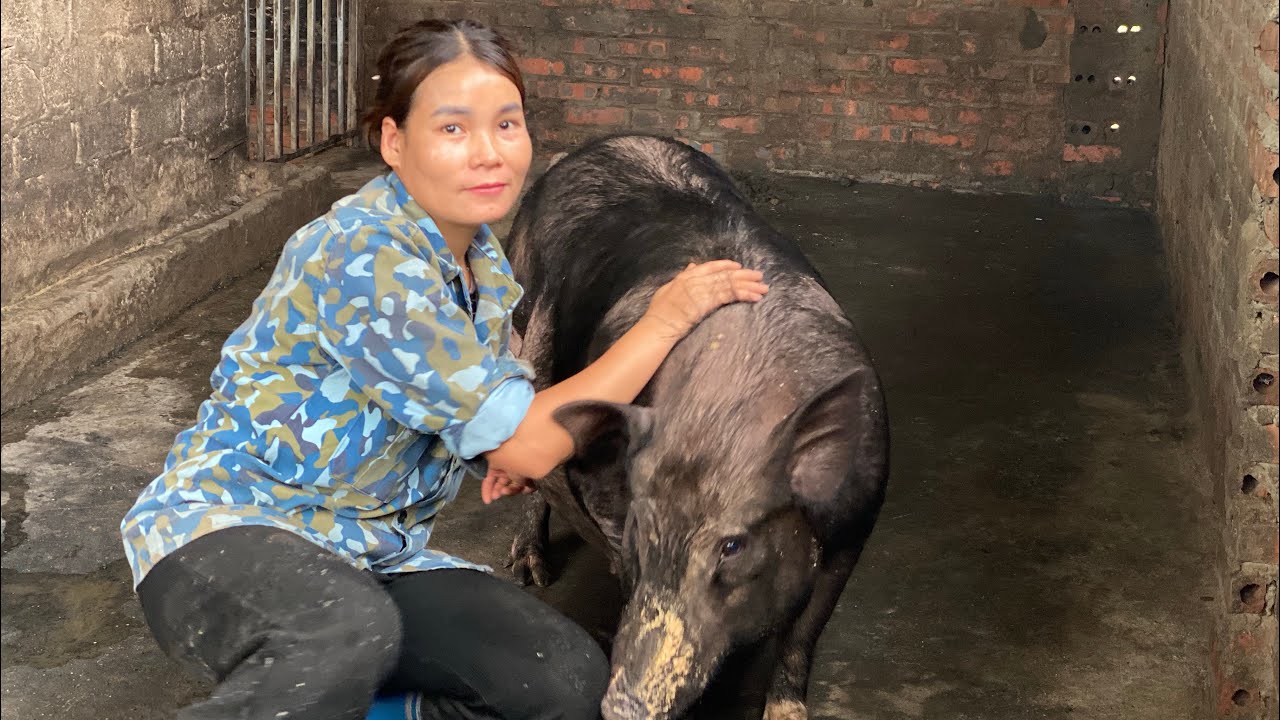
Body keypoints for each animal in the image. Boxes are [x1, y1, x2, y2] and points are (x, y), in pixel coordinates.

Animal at [503, 135, 889, 720]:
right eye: (641, 528)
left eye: (733, 545)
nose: (623, 705)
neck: (724, 408)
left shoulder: (857, 519)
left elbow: (806, 630)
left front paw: (787, 712)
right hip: (527, 309)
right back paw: (527, 574)